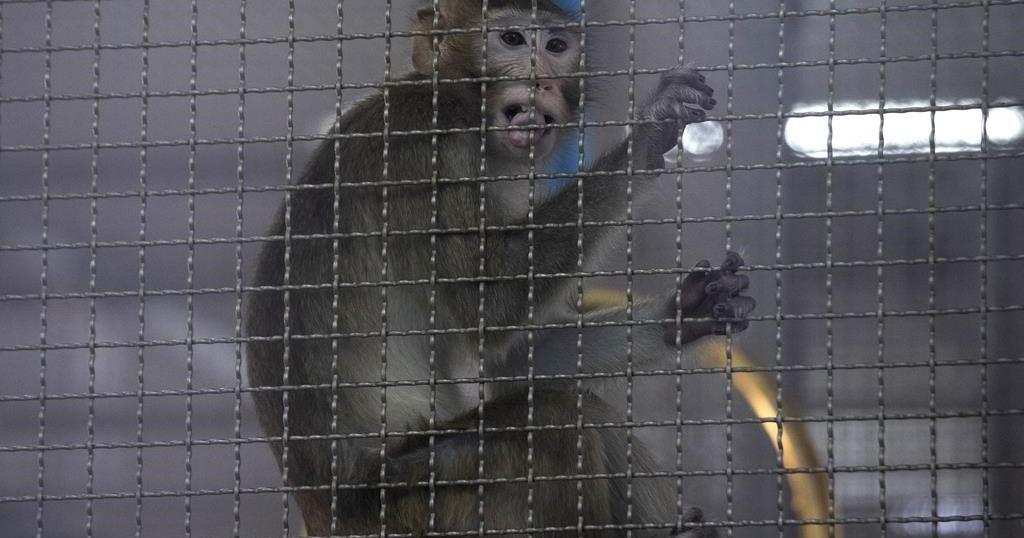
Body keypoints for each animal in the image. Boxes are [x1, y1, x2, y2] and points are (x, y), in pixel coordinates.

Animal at [245, 0, 753, 536]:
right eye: (512, 40)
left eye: (556, 46)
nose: (541, 81)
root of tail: (325, 515)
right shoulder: (425, 148)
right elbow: (488, 306)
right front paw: (647, 136)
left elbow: (508, 365)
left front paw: (686, 312)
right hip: (419, 502)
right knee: (552, 421)